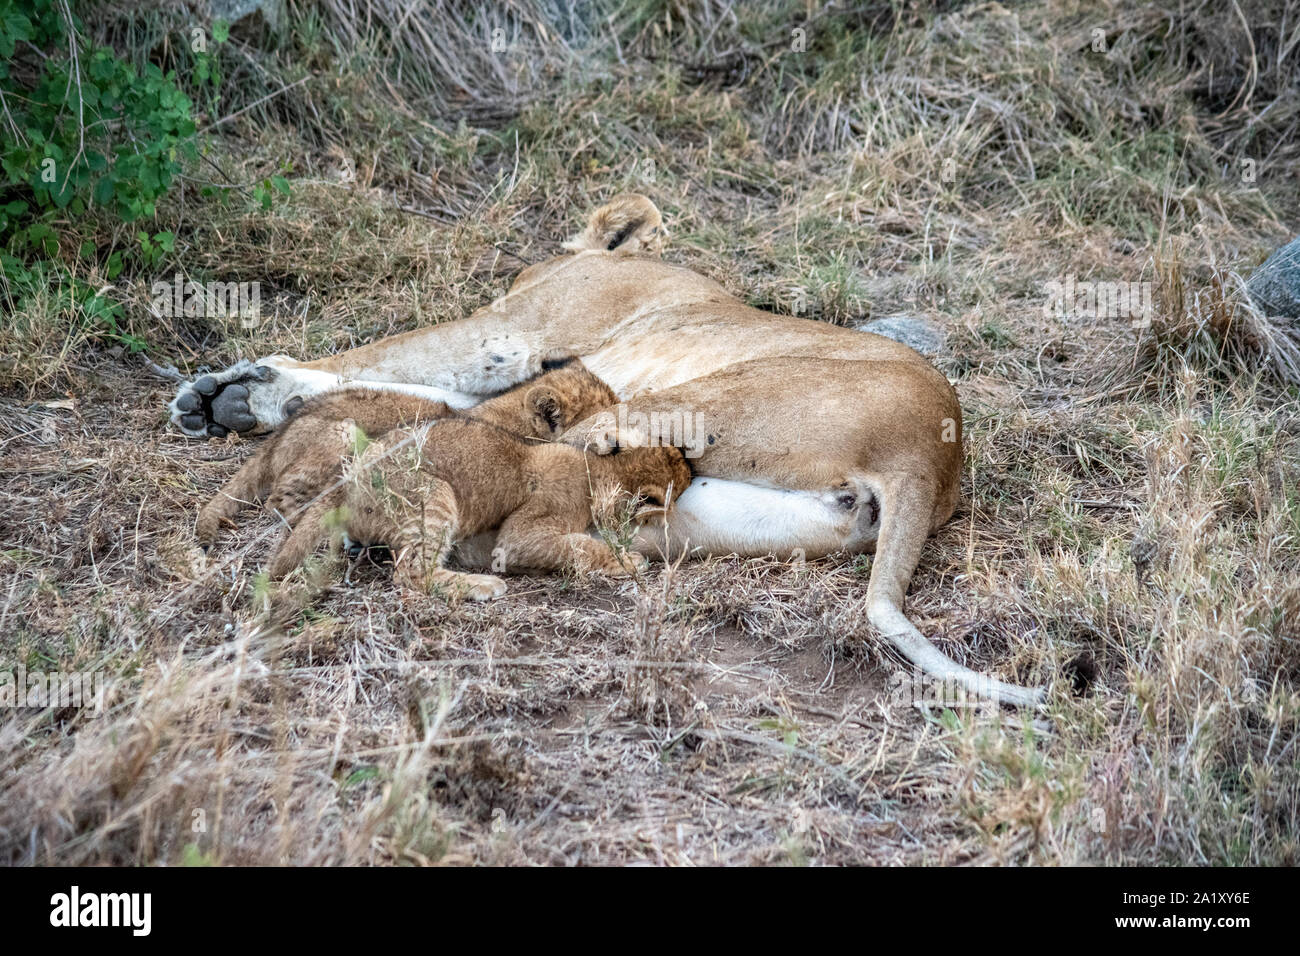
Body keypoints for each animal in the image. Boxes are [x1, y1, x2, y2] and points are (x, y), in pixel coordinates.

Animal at [269, 416, 692, 600]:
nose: (690, 458)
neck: (599, 468)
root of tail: (347, 481)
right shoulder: (521, 535)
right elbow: (576, 544)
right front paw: (626, 560)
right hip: (434, 495)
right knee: (411, 573)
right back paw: (482, 585)